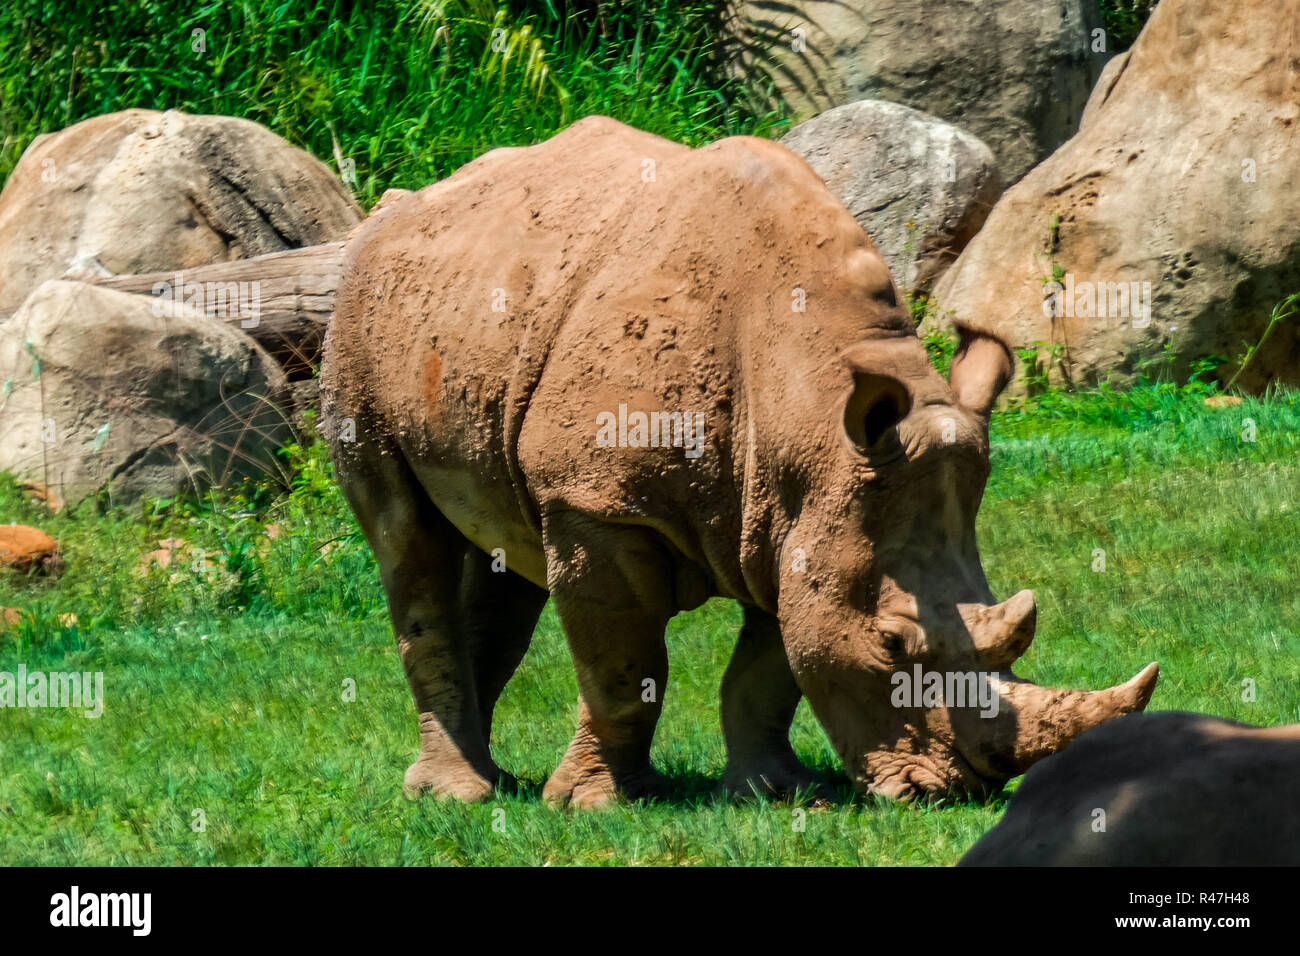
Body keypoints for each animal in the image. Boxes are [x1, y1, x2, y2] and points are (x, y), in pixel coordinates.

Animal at [321, 116, 1158, 807]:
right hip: (355, 324)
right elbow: (623, 668)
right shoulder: (599, 502)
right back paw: (458, 796)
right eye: (893, 644)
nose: (955, 793)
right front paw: (597, 806)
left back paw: (488, 780)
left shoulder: (796, 514)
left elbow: (770, 668)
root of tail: (397, 208)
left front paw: (775, 793)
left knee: (504, 548)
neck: (808, 408)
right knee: (407, 541)